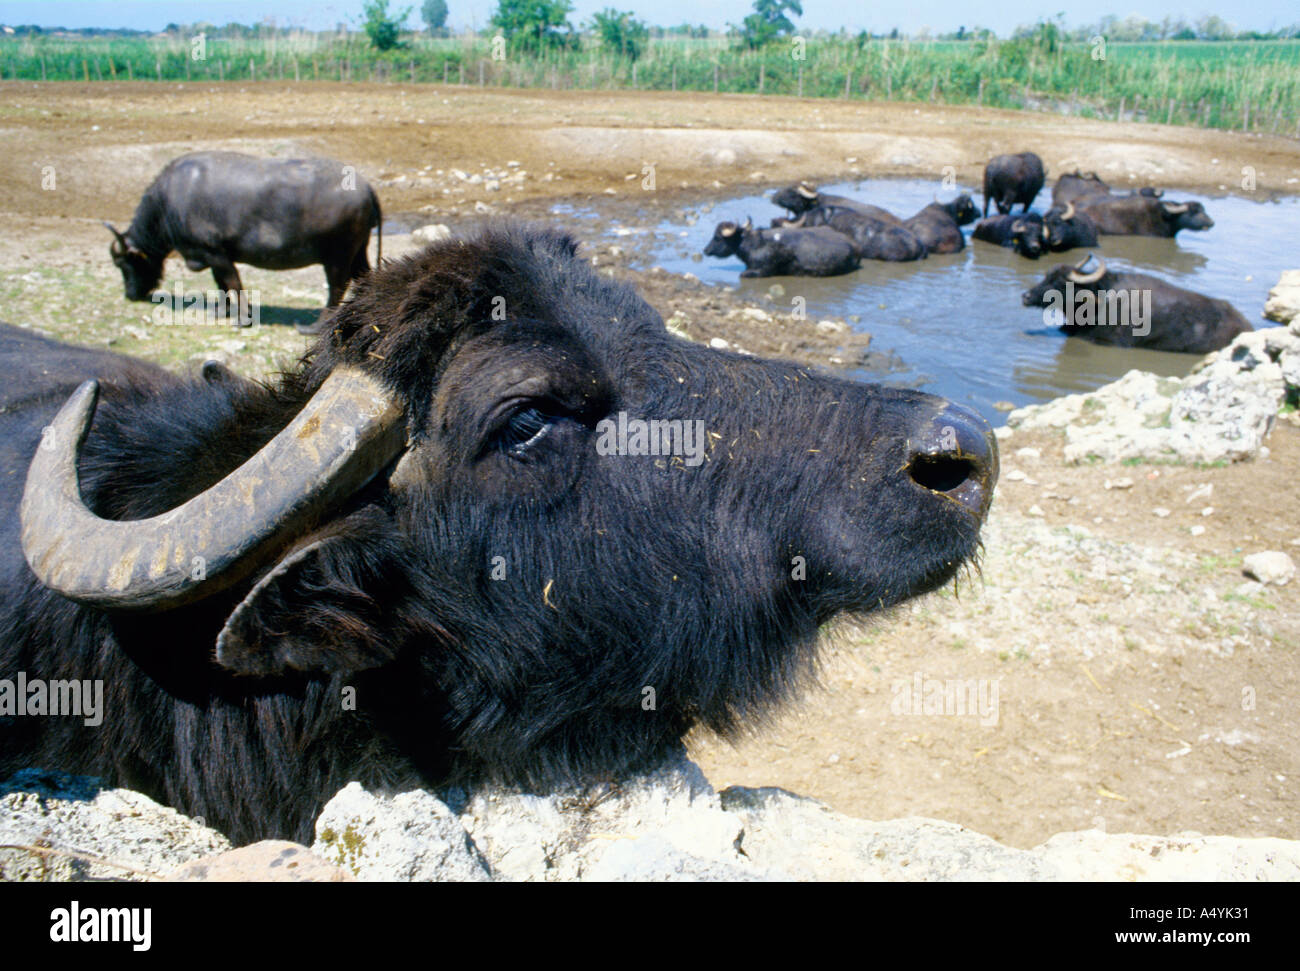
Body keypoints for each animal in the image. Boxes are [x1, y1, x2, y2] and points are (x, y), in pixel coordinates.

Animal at [104, 151, 382, 329]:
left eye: (126, 264)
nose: (130, 294)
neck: (170, 202)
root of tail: (365, 187)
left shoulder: (216, 254)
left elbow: (233, 283)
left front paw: (243, 318)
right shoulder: (215, 257)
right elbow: (221, 284)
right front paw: (222, 310)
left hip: (337, 256)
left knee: (337, 285)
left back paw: (318, 324)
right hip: (359, 250)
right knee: (364, 276)